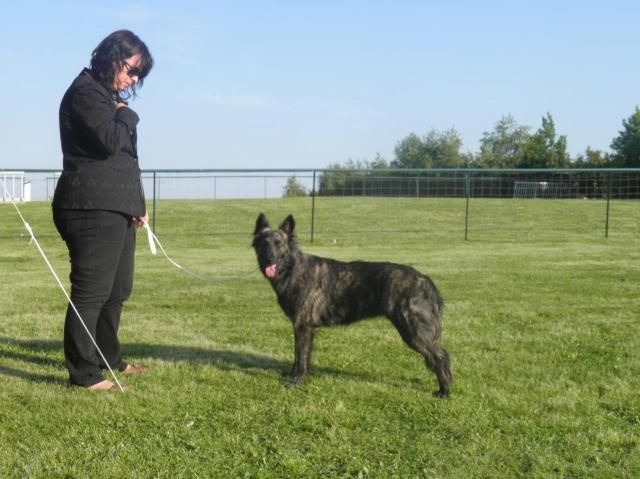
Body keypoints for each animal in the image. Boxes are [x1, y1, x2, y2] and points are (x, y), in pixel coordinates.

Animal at [252, 213, 452, 397]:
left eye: (279, 243)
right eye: (263, 243)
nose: (269, 259)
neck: (292, 269)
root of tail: (425, 280)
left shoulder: (303, 326)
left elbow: (301, 358)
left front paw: (296, 381)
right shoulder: (300, 327)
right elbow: (298, 357)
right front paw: (292, 376)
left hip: (413, 332)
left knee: (441, 357)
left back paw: (444, 391)